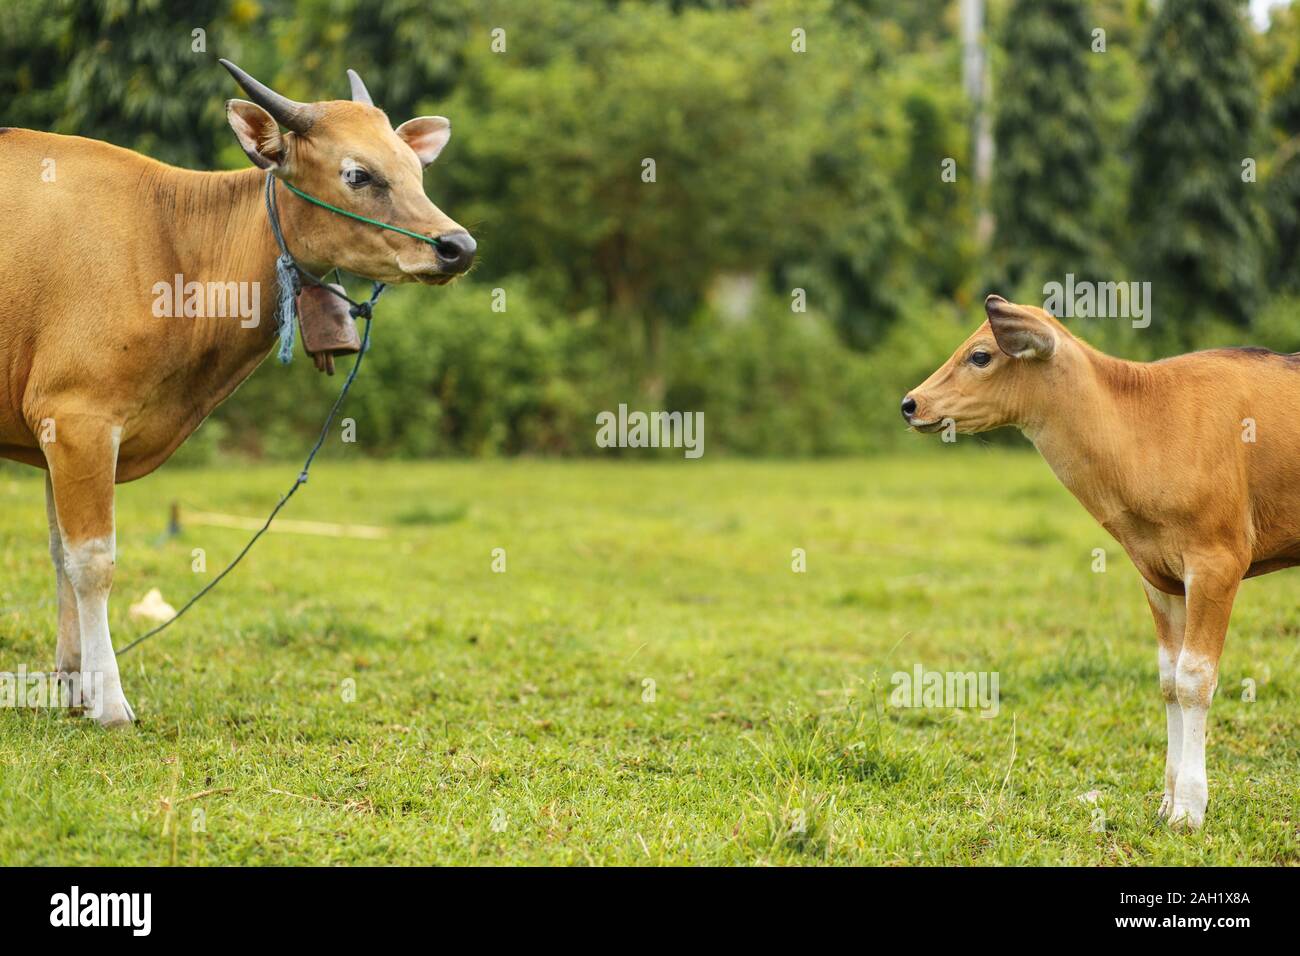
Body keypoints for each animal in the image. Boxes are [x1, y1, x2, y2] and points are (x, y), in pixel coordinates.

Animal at [0, 60, 474, 727]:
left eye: (416, 169)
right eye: (359, 173)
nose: (458, 246)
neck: (171, 242)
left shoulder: (54, 432)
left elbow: (60, 556)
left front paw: (74, 683)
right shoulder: (80, 419)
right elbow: (92, 563)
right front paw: (111, 701)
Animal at [903, 294, 1300, 830]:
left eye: (980, 355)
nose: (910, 403)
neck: (1146, 430)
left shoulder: (1217, 561)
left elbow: (1195, 679)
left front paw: (1189, 809)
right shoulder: (1159, 575)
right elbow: (1169, 679)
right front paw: (1167, 801)